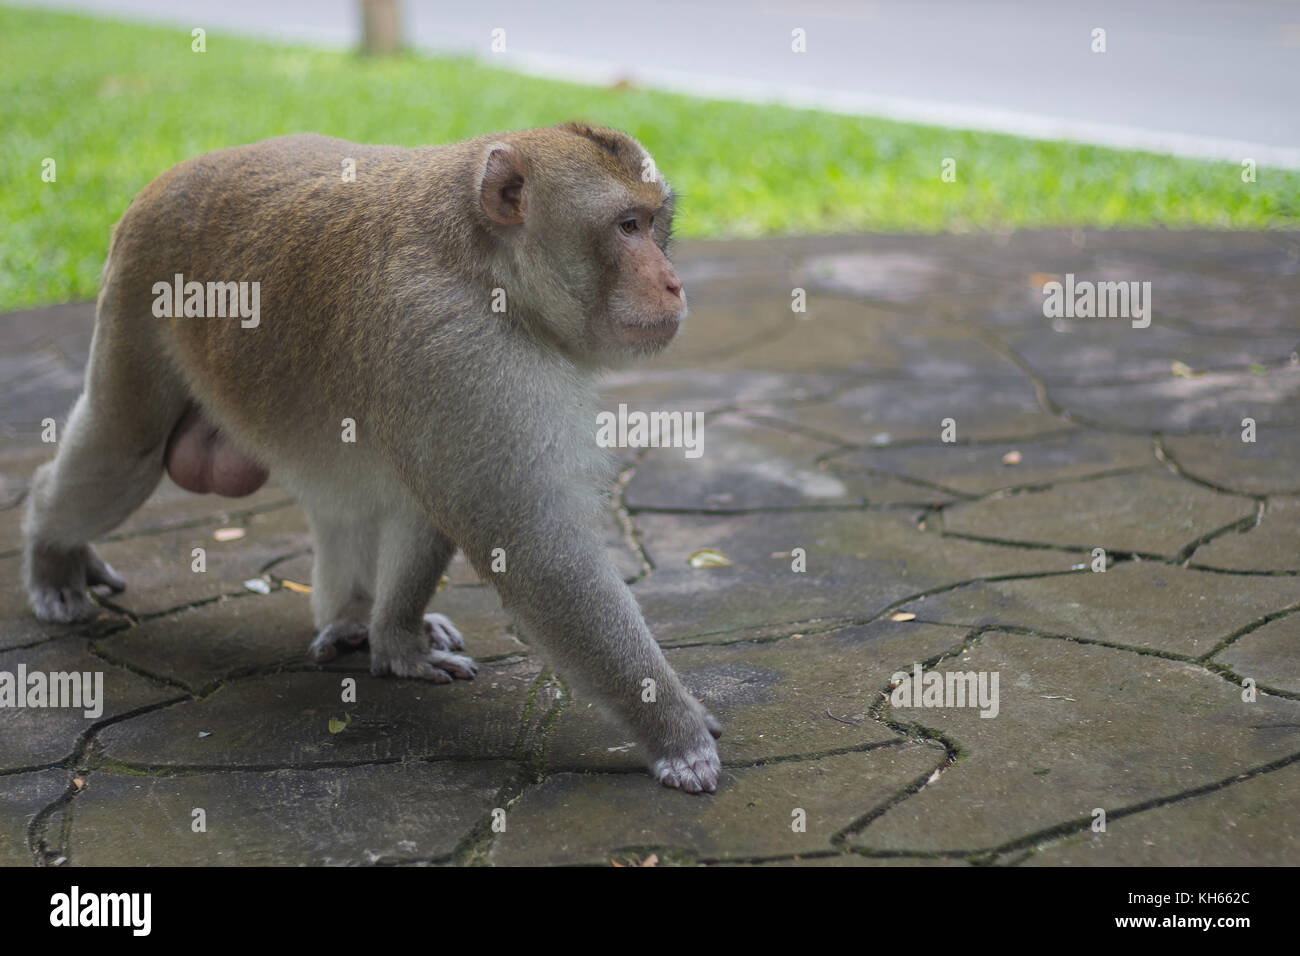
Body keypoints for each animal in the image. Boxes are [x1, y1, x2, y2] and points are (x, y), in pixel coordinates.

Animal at [21, 124, 723, 793]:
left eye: (655, 224)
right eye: (626, 227)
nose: (673, 283)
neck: (486, 268)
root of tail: (164, 178)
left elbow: (431, 510)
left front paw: (399, 642)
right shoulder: (457, 349)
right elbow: (537, 550)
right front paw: (676, 731)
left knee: (354, 495)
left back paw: (356, 619)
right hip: (137, 300)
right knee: (121, 450)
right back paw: (52, 554)